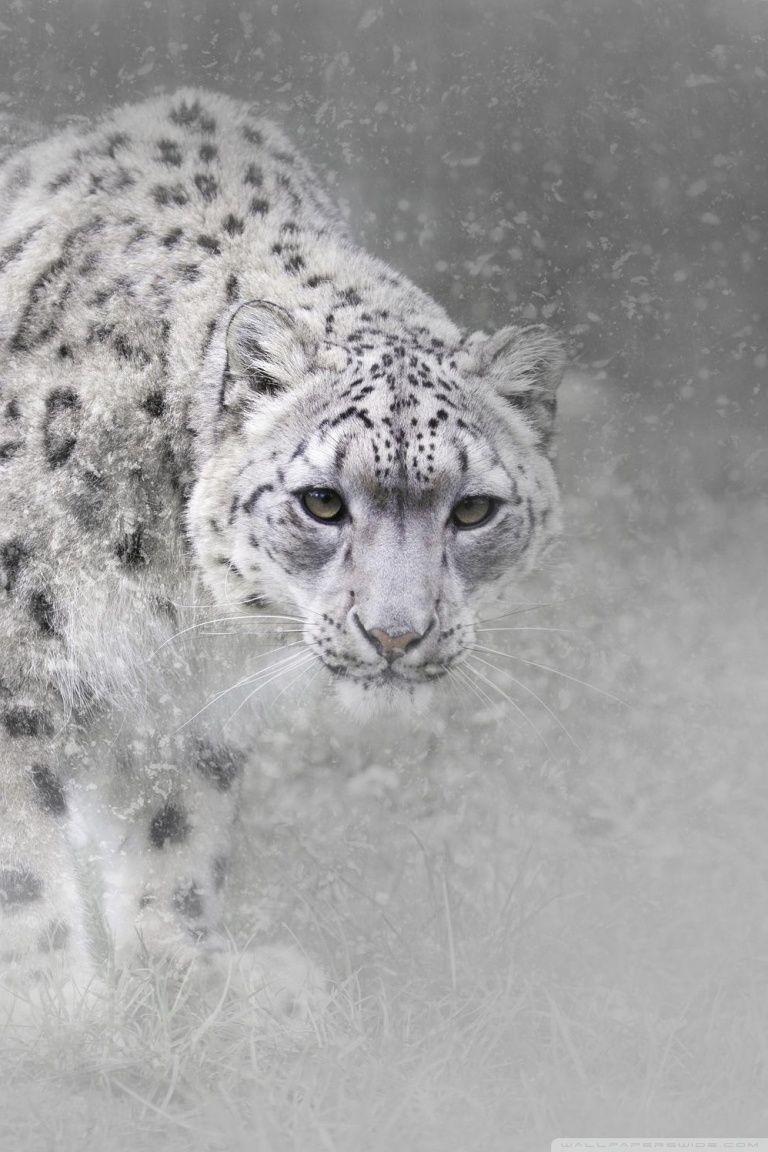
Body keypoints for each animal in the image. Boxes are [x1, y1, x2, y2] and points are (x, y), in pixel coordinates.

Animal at [0, 88, 564, 1020]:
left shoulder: (194, 701)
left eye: (473, 508)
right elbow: (22, 848)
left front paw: (193, 972)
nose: (397, 635)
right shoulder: (19, 664)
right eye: (322, 501)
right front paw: (54, 1005)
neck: (171, 592)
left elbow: (178, 824)